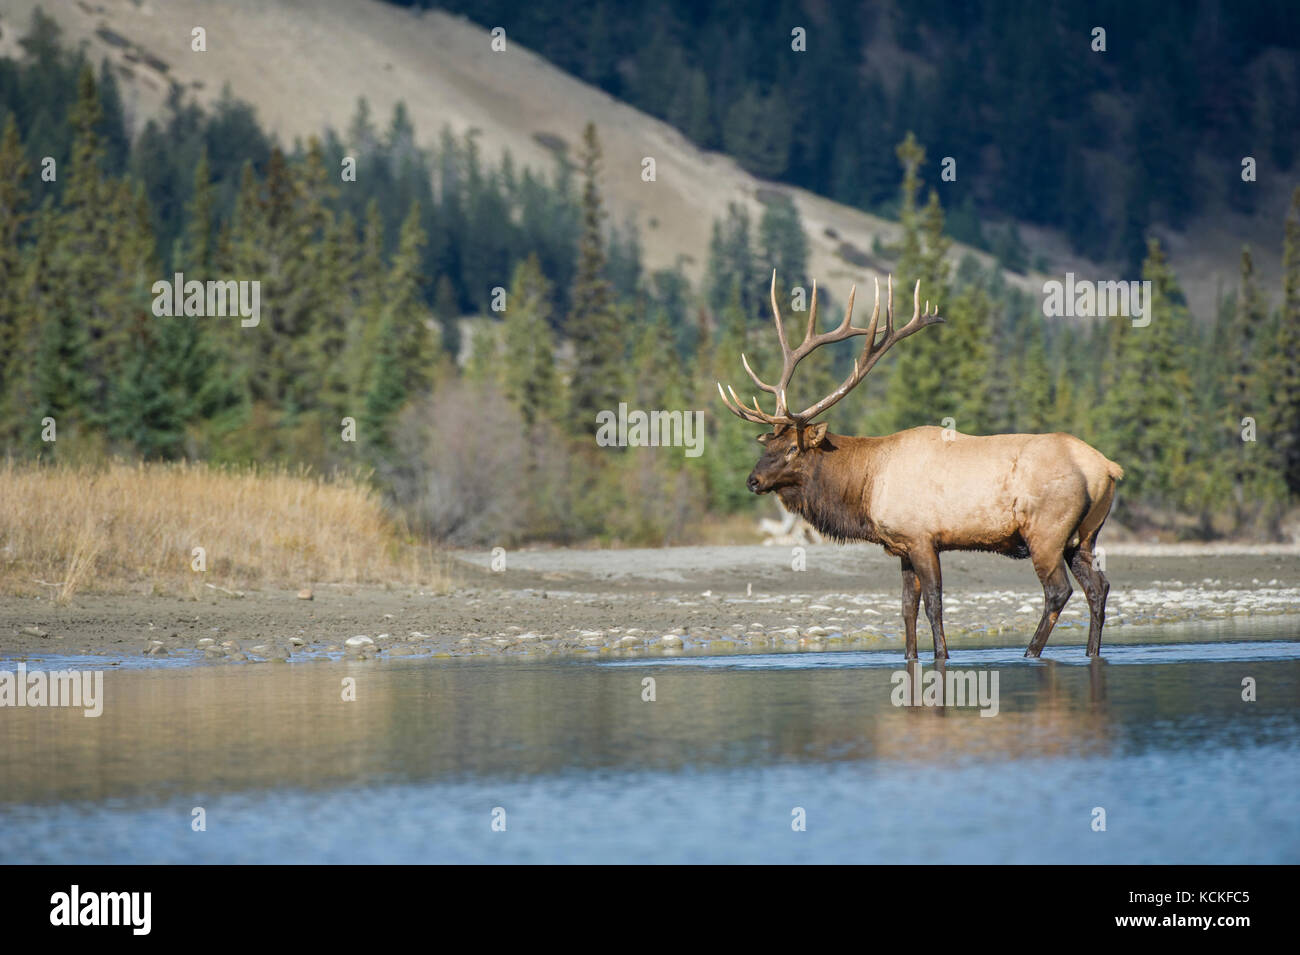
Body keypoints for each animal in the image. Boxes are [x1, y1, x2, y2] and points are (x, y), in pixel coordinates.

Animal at [717, 272, 1124, 661]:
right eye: (768, 443)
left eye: (791, 448)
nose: (753, 480)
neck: (865, 486)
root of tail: (1108, 467)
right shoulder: (902, 547)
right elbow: (906, 608)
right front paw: (910, 656)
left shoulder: (922, 538)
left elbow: (933, 604)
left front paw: (942, 655)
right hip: (1083, 536)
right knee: (1099, 588)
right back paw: (1090, 652)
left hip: (1046, 531)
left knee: (1058, 591)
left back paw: (1030, 653)